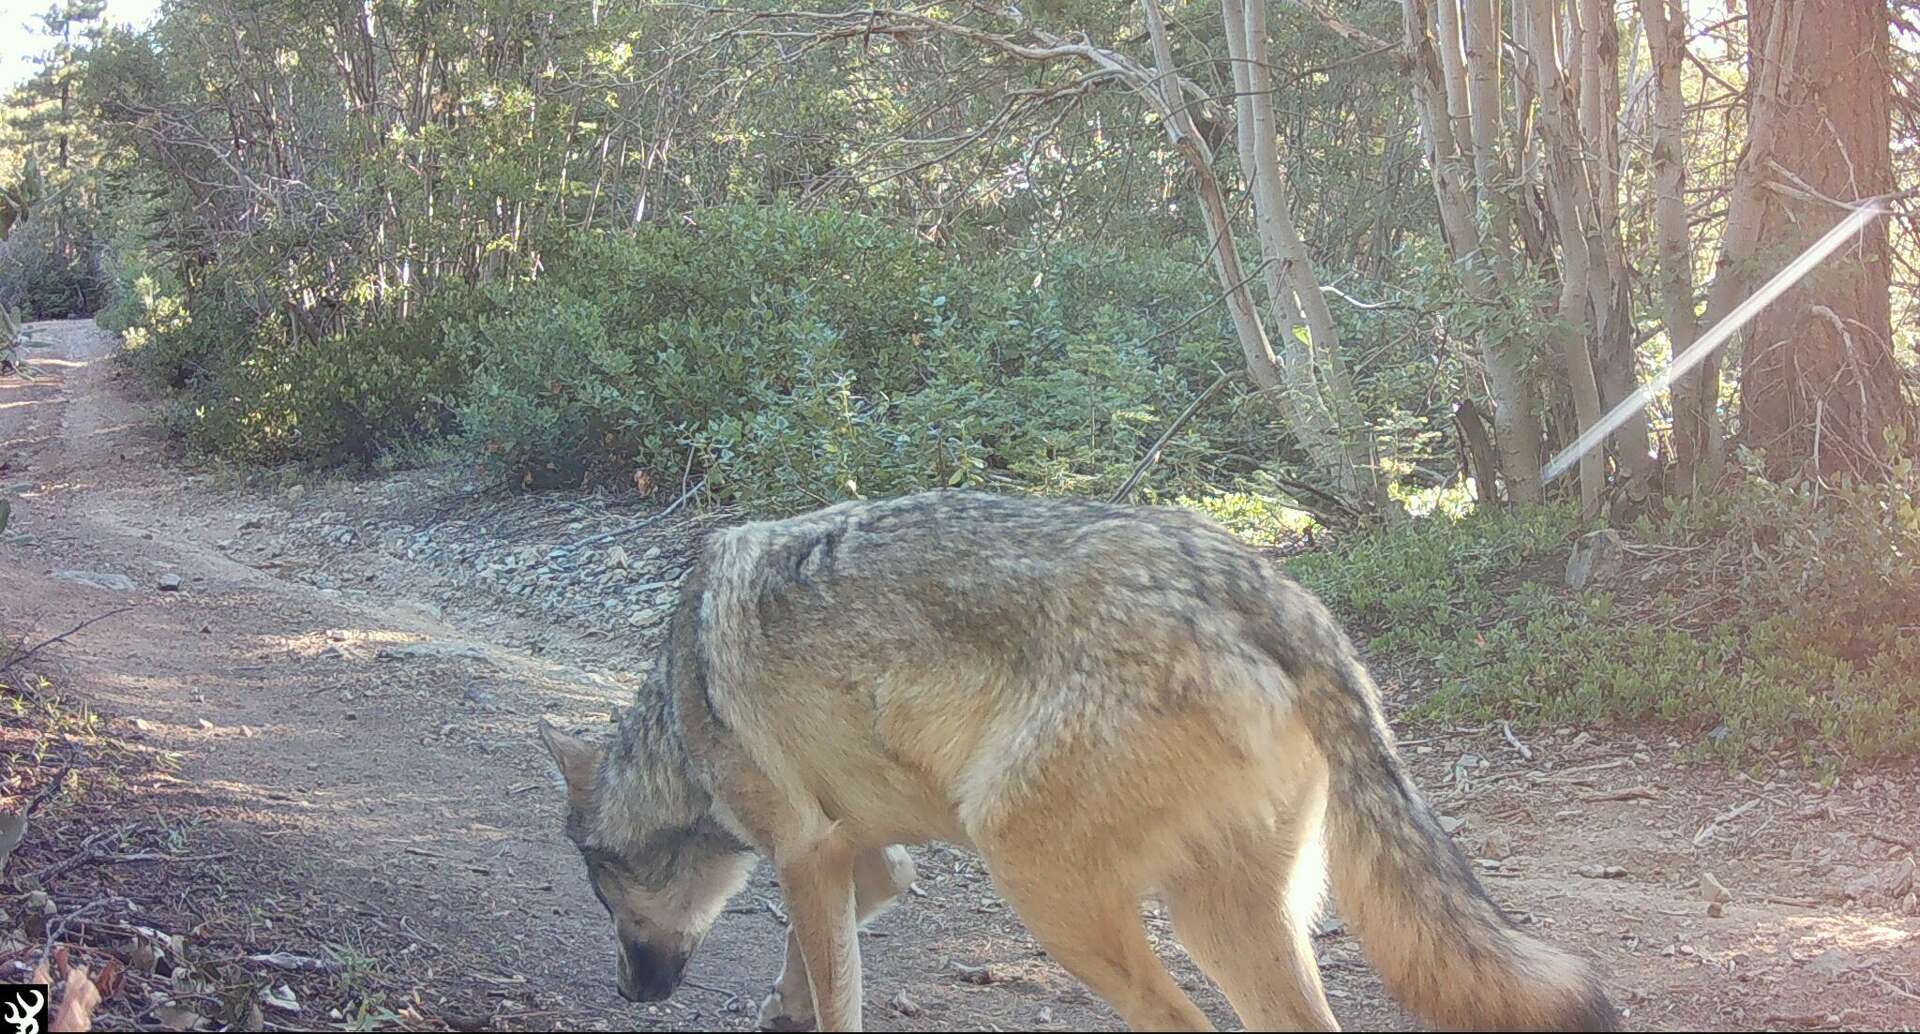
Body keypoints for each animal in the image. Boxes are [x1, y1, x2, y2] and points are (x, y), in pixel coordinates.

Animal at [538, 490, 1617, 1031]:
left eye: (600, 892)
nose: (628, 992)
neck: (681, 709)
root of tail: (1267, 586)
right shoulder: (865, 858)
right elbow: (806, 973)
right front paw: (778, 1010)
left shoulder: (805, 853)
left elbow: (832, 994)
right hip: (1219, 920)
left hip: (1040, 882)